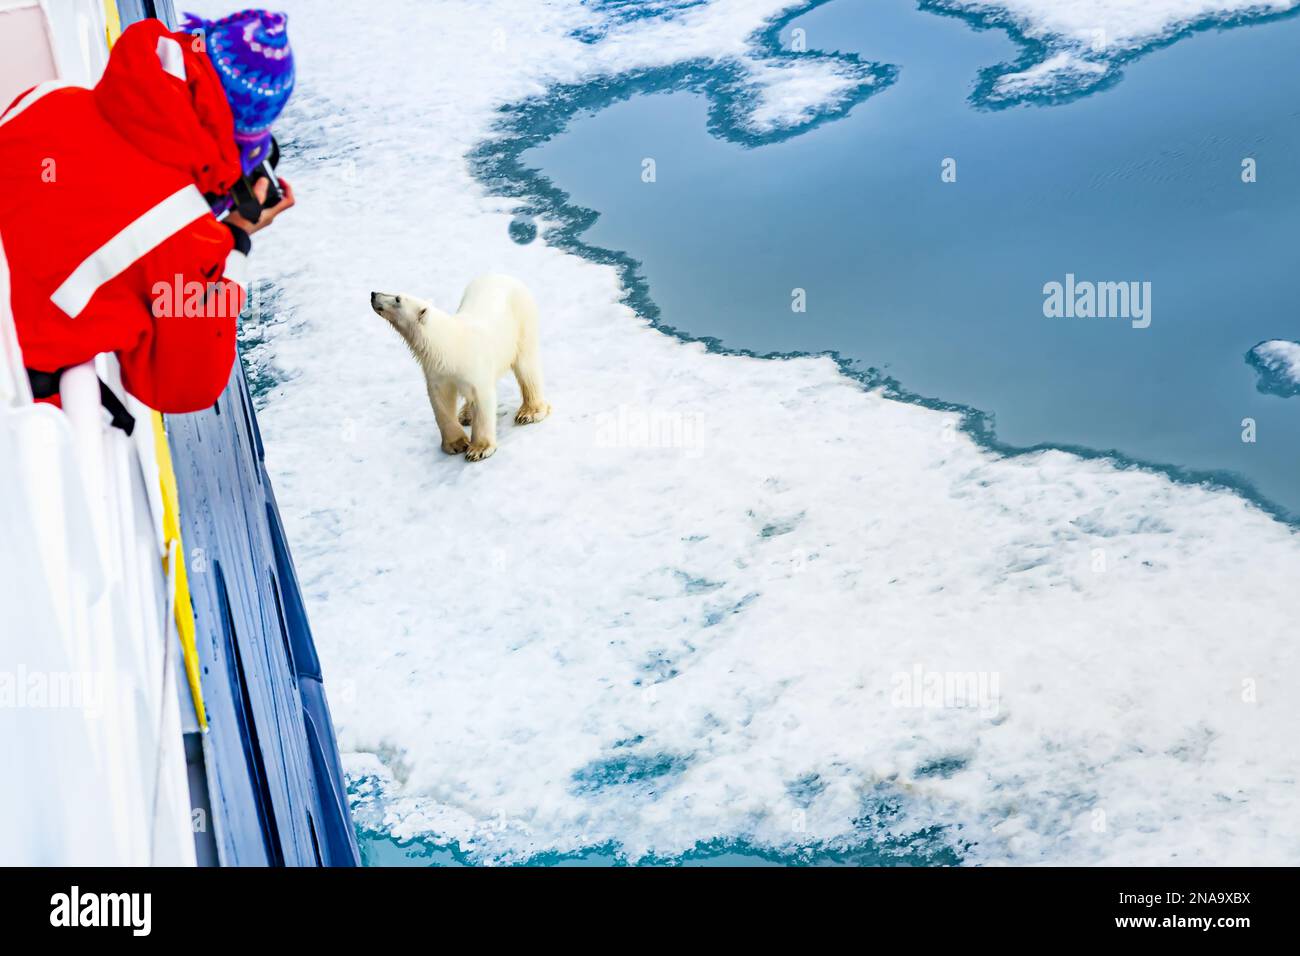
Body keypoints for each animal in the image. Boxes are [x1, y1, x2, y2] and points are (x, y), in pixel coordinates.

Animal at [370, 275, 550, 462]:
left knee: (526, 365)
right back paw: (465, 415)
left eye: (397, 299)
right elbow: (441, 400)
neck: (450, 348)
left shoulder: (474, 365)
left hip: (522, 323)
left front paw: (479, 449)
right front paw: (456, 444)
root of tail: (503, 275)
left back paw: (530, 412)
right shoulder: (437, 370)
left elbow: (482, 398)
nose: (373, 294)